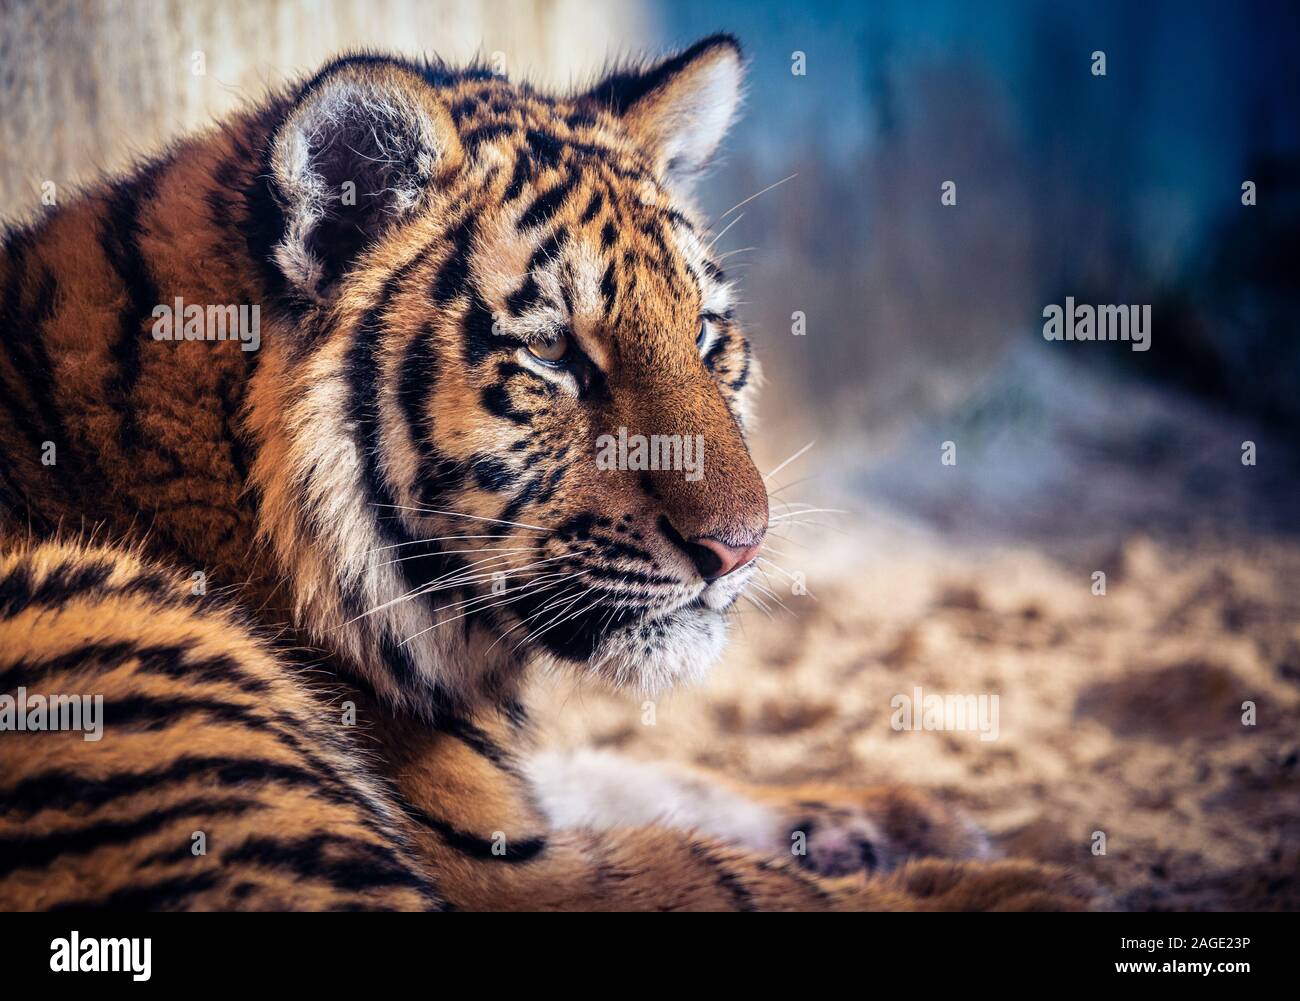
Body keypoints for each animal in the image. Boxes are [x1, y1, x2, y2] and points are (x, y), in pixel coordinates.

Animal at [0, 34, 1099, 910]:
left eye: (706, 335)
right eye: (554, 354)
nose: (739, 548)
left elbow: (648, 781)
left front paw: (912, 816)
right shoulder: (503, 871)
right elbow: (737, 880)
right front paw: (1017, 879)